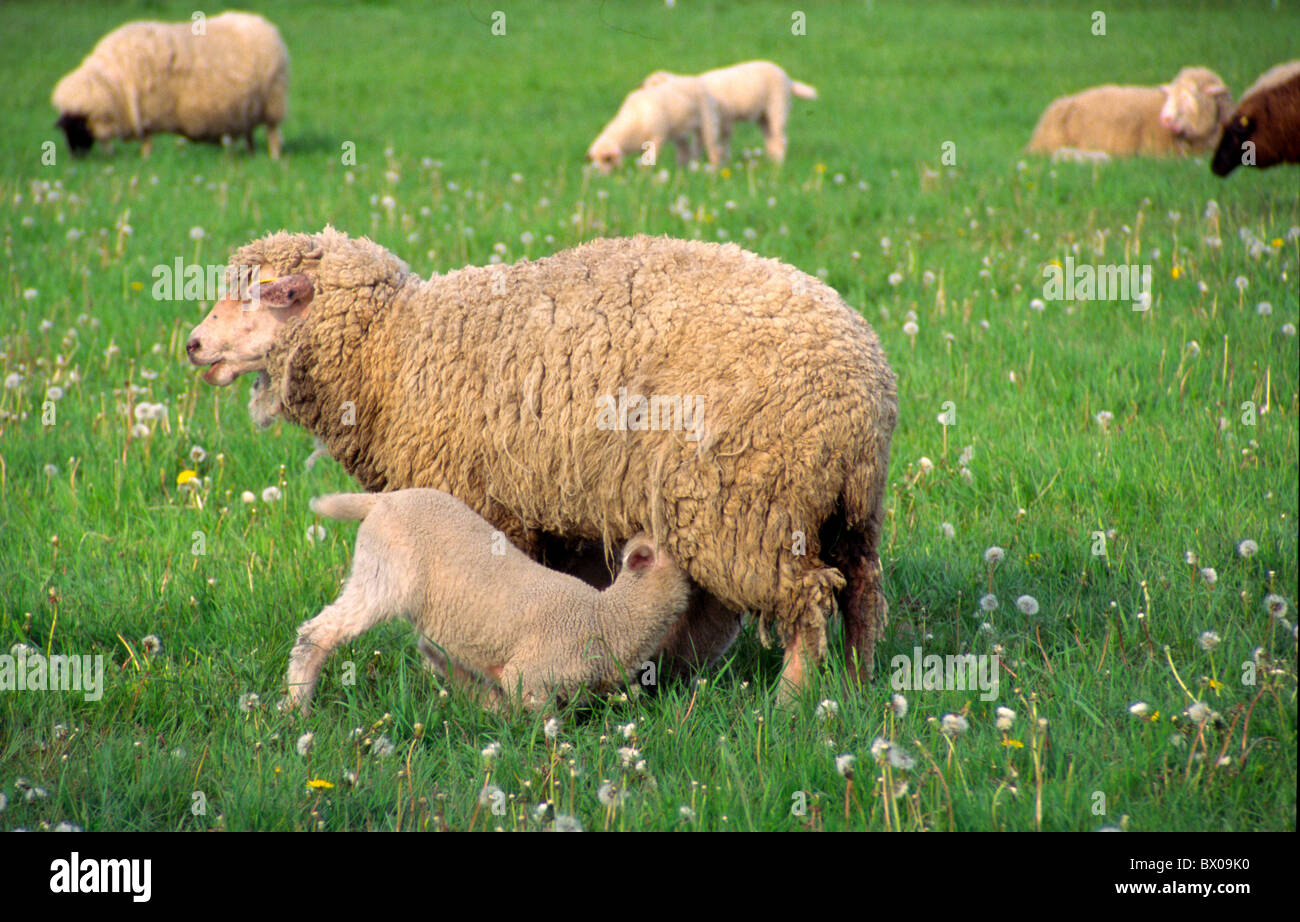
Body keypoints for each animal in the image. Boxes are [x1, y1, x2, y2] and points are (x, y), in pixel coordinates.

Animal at [52, 12, 288, 158]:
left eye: (78, 125)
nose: (76, 158)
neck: (112, 83)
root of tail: (266, 26)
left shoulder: (145, 113)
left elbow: (146, 142)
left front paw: (145, 159)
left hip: (272, 103)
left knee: (272, 134)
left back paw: (274, 157)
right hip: (249, 109)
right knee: (250, 134)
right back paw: (252, 154)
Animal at [285, 489, 690, 712]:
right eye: (678, 557)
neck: (607, 618)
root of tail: (383, 499)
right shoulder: (531, 676)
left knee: (433, 649)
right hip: (383, 576)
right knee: (316, 633)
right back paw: (295, 708)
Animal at [587, 78, 721, 172]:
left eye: (607, 159)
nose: (603, 178)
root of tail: (696, 80)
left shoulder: (657, 137)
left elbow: (649, 160)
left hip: (708, 120)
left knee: (712, 148)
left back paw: (713, 170)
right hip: (679, 131)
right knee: (685, 151)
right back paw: (683, 170)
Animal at [643, 60, 818, 162]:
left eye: (653, 86)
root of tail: (789, 80)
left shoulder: (722, 119)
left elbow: (722, 141)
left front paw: (724, 160)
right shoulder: (705, 123)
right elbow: (698, 143)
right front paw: (695, 162)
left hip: (777, 106)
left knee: (781, 139)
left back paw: (779, 163)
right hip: (763, 116)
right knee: (771, 138)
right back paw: (771, 161)